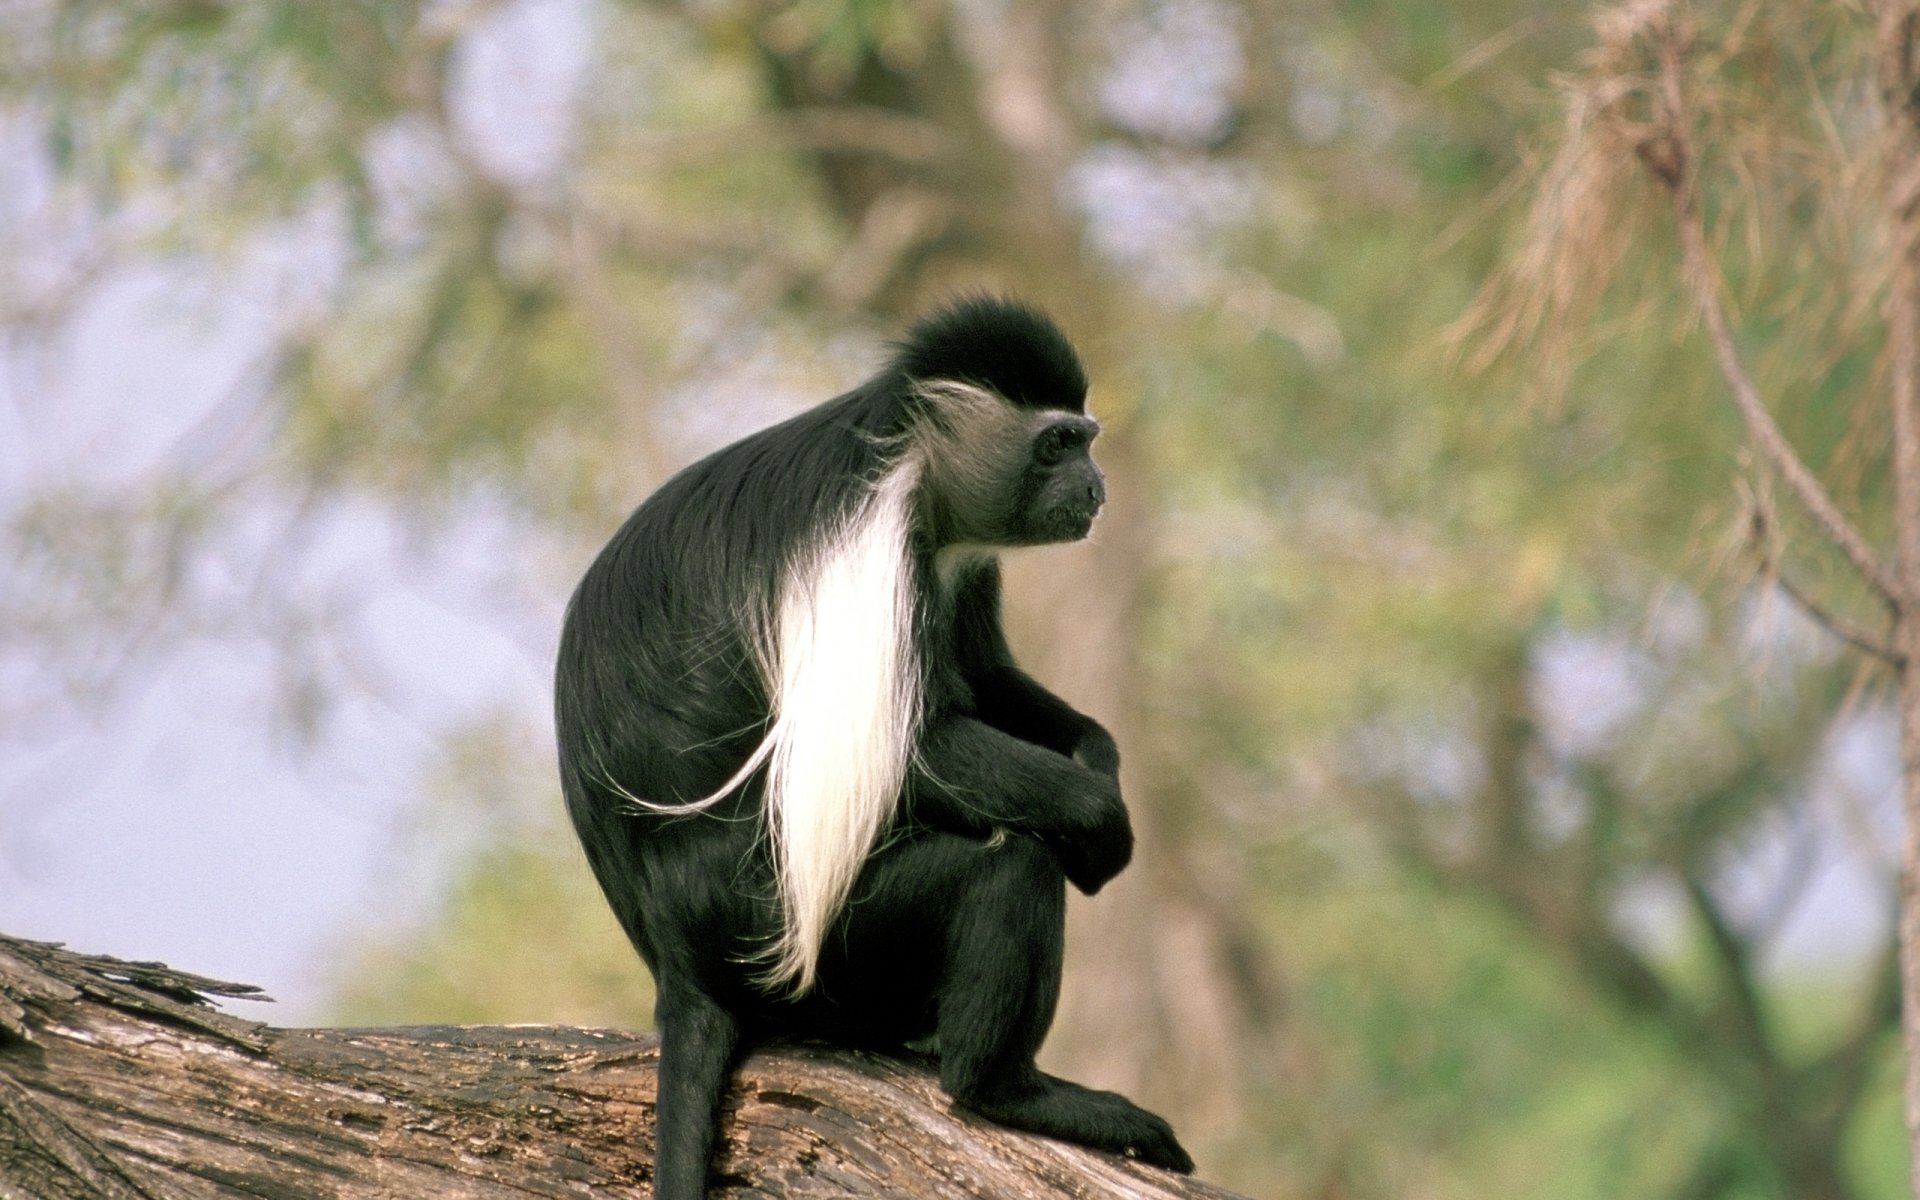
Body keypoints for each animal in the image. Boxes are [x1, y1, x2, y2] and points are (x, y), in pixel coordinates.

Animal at [554, 296, 1193, 1198]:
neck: (911, 457)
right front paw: (1100, 816)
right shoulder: (873, 548)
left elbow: (988, 678)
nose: (1097, 487)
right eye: (1058, 444)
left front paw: (1101, 759)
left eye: (1085, 440)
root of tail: (679, 971)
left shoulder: (960, 559)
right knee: (1005, 867)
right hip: (823, 953)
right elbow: (908, 749)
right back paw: (1005, 1090)